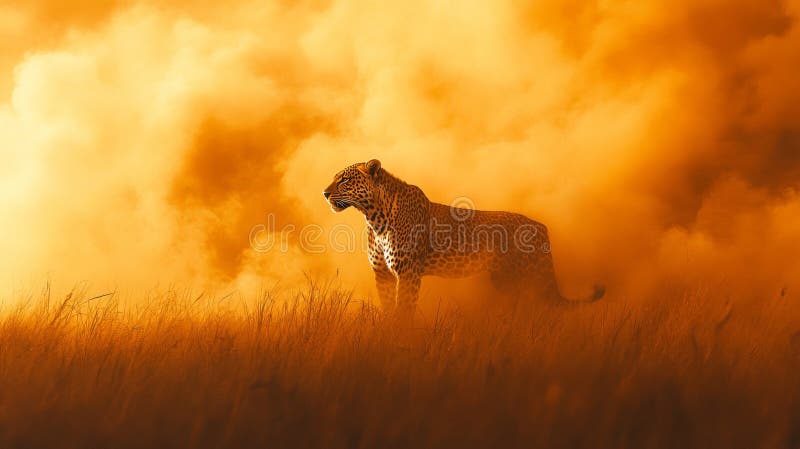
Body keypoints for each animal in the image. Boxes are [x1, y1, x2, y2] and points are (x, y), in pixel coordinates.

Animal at [323, 159, 604, 318]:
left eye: (344, 179)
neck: (374, 216)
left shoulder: (408, 273)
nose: (324, 193)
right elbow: (389, 308)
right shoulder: (382, 274)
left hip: (533, 275)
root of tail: (542, 227)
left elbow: (404, 311)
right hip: (507, 279)